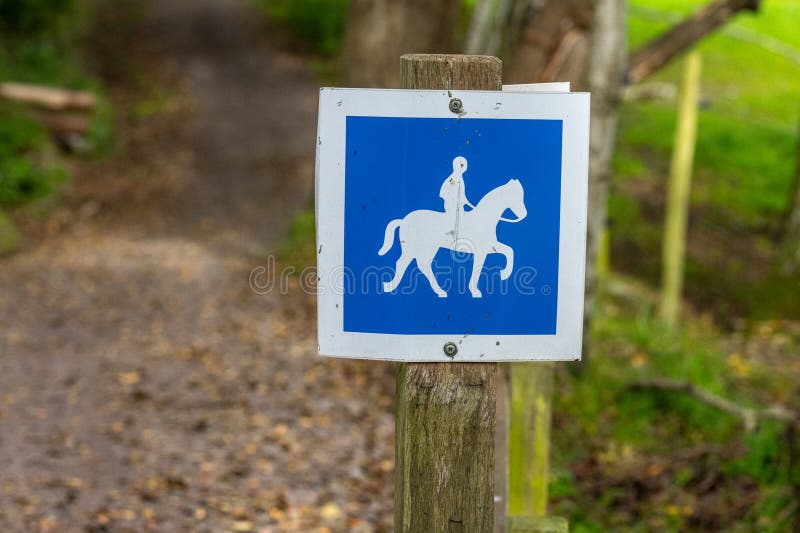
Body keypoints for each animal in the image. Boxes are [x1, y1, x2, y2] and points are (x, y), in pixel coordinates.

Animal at [378, 178, 527, 298]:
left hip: (425, 249)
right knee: (405, 263)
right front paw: (475, 291)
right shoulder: (481, 251)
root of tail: (403, 221)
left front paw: (504, 274)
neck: (482, 219)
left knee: (418, 264)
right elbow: (478, 267)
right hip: (417, 248)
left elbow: (509, 251)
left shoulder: (491, 246)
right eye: (516, 196)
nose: (524, 215)